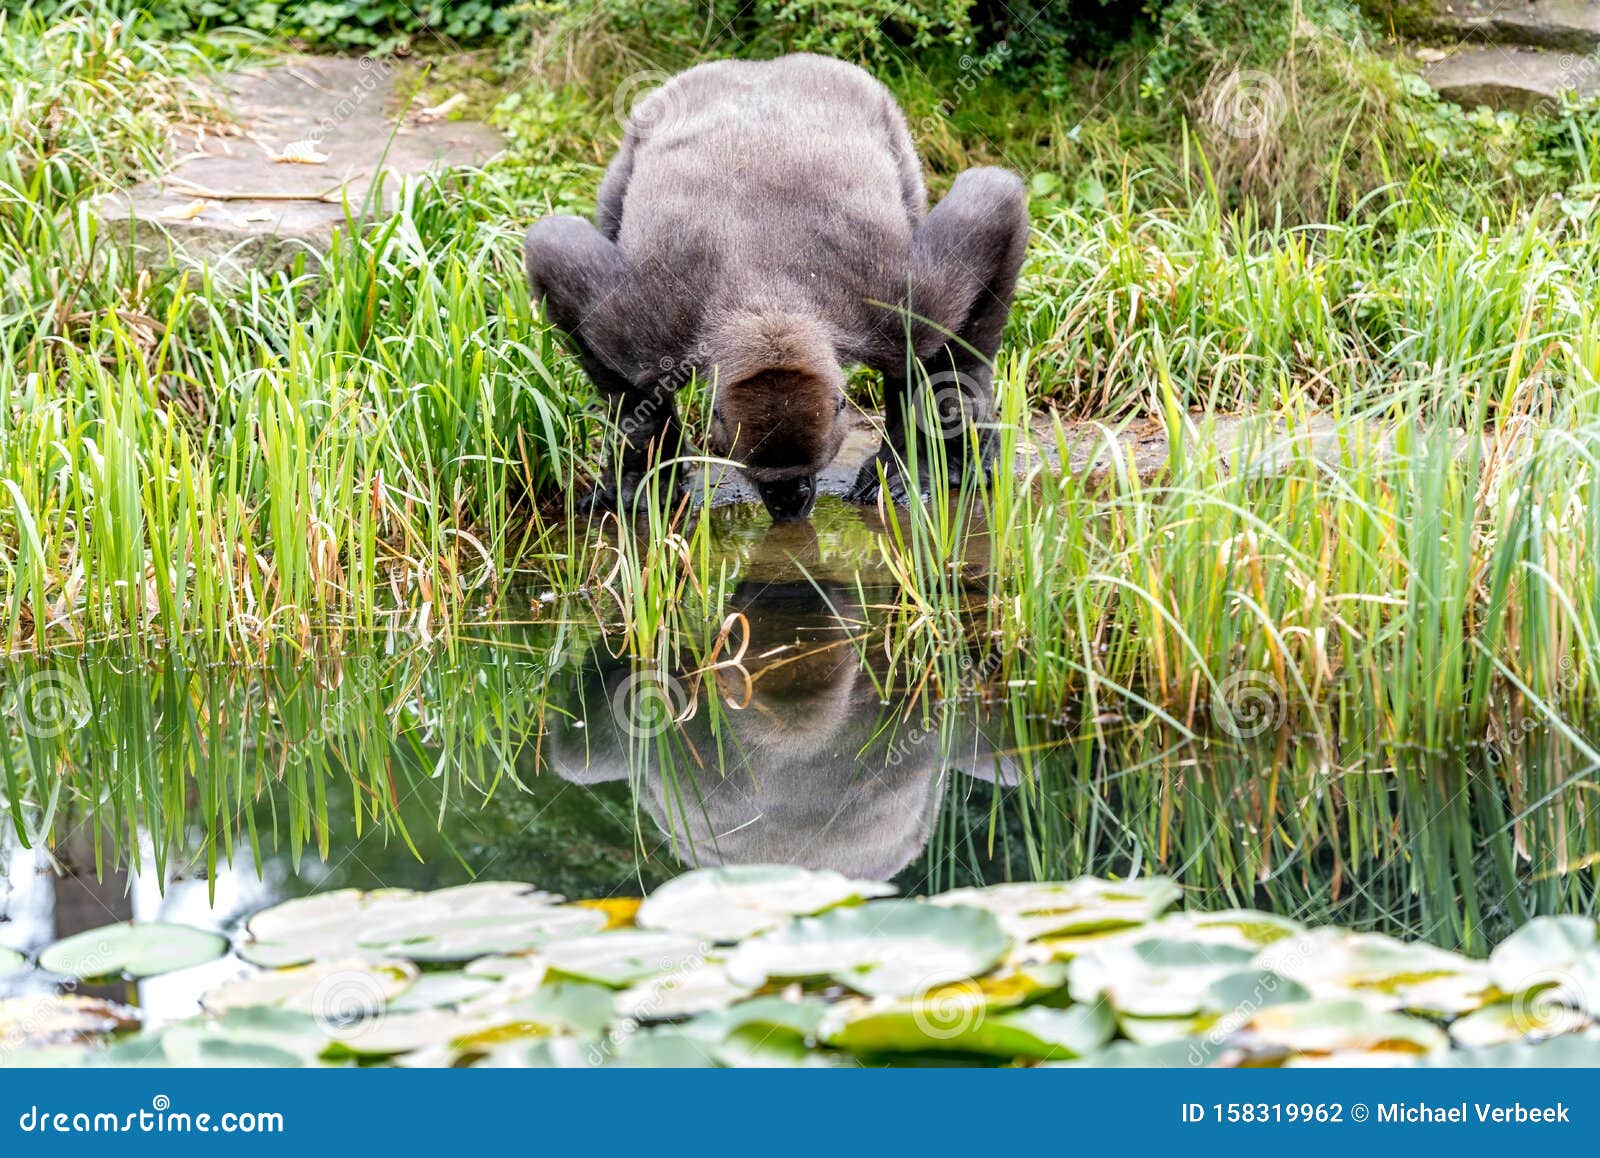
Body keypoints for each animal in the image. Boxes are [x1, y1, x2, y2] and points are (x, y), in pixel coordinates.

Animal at [523, 53, 1030, 522]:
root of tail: (764, 65)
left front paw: (922, 462)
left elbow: (995, 202)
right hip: (629, 150)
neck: (770, 308)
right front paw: (643, 475)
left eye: (806, 472)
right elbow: (555, 256)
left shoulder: (901, 305)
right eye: (769, 479)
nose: (790, 501)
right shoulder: (644, 332)